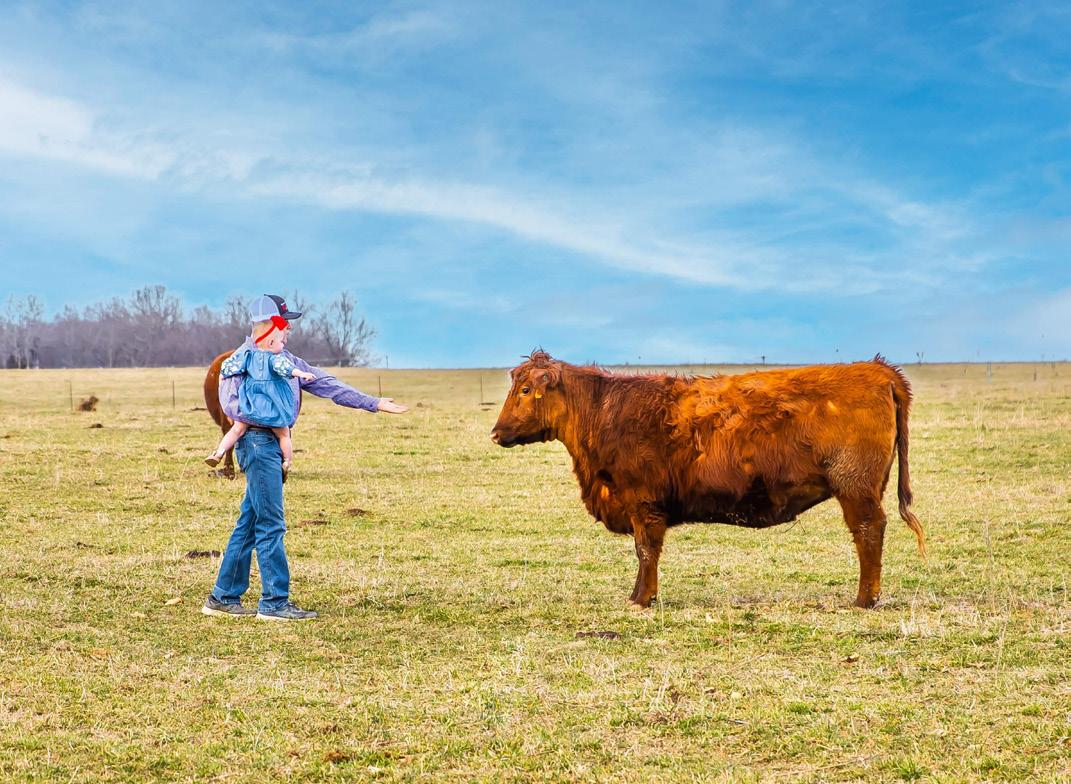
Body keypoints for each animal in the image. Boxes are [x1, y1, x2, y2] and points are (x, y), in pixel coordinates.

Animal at [491, 351, 925, 609]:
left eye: (525, 389)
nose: (496, 433)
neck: (603, 411)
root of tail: (877, 368)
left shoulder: (643, 504)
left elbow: (645, 551)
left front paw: (641, 598)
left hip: (855, 488)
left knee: (868, 532)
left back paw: (864, 599)